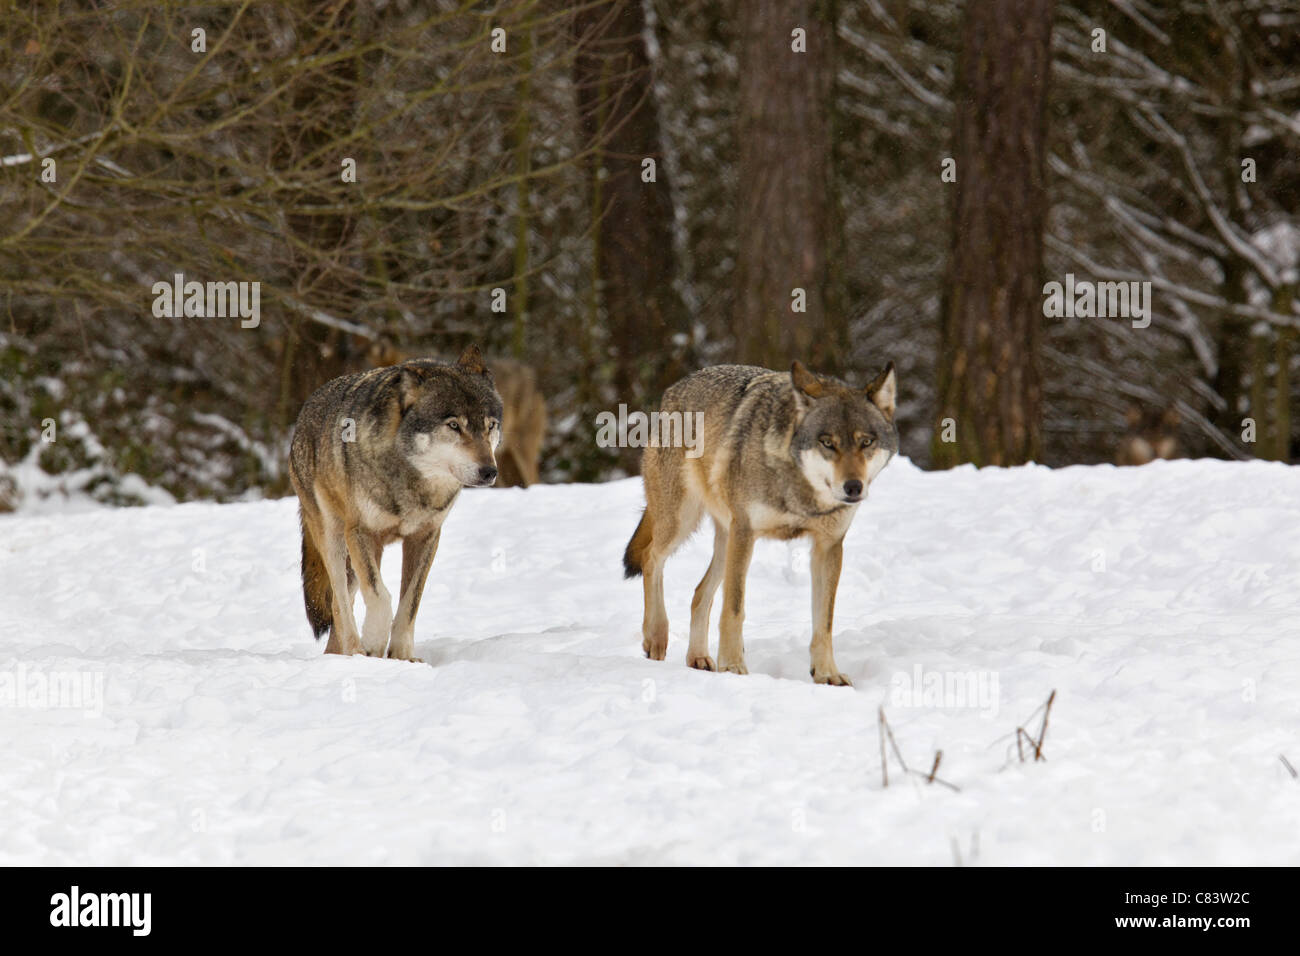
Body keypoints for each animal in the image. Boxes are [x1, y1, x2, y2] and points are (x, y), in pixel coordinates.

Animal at [289, 345, 503, 660]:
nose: (490, 472)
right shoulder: (361, 532)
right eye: (454, 425)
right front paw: (374, 643)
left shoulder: (426, 537)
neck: (411, 481)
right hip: (335, 541)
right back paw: (355, 651)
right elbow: (381, 597)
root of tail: (306, 409)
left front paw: (402, 658)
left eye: (490, 426)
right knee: (339, 604)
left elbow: (409, 604)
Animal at [623, 360, 897, 685]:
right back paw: (656, 636)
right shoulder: (745, 532)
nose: (853, 487)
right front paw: (732, 667)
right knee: (651, 558)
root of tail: (674, 389)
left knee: (699, 593)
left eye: (866, 442)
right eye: (827, 443)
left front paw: (827, 673)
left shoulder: (828, 546)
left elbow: (824, 622)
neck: (798, 488)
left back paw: (698, 657)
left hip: (725, 541)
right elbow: (734, 609)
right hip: (683, 522)